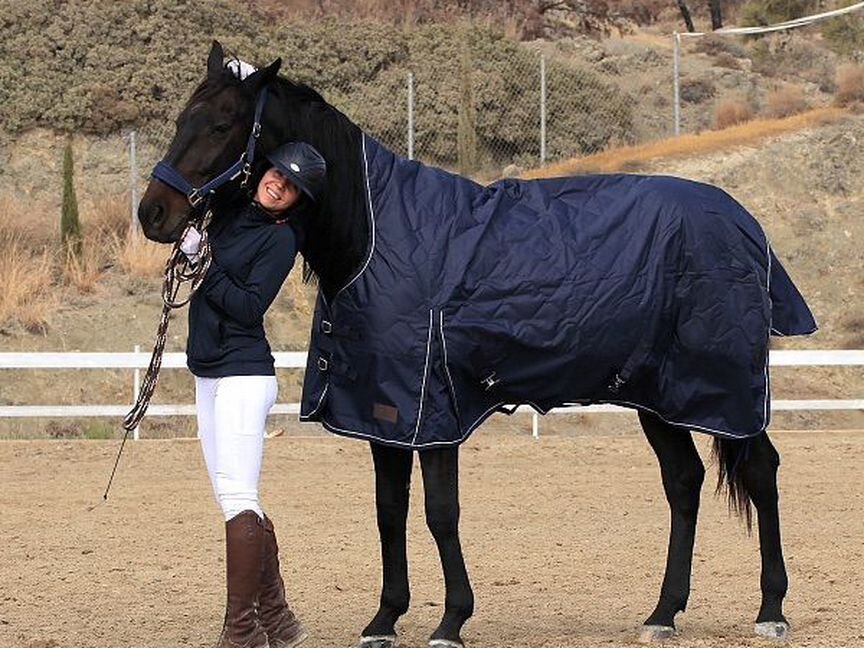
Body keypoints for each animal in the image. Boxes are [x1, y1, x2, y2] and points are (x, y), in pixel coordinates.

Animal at [138, 41, 816, 647]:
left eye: (221, 124)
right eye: (180, 119)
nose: (153, 214)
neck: (376, 235)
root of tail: (746, 225)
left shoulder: (432, 408)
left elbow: (441, 512)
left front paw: (450, 622)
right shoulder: (382, 412)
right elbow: (389, 511)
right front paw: (384, 620)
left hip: (723, 388)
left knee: (761, 470)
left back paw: (771, 609)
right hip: (657, 397)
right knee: (684, 481)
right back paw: (663, 614)